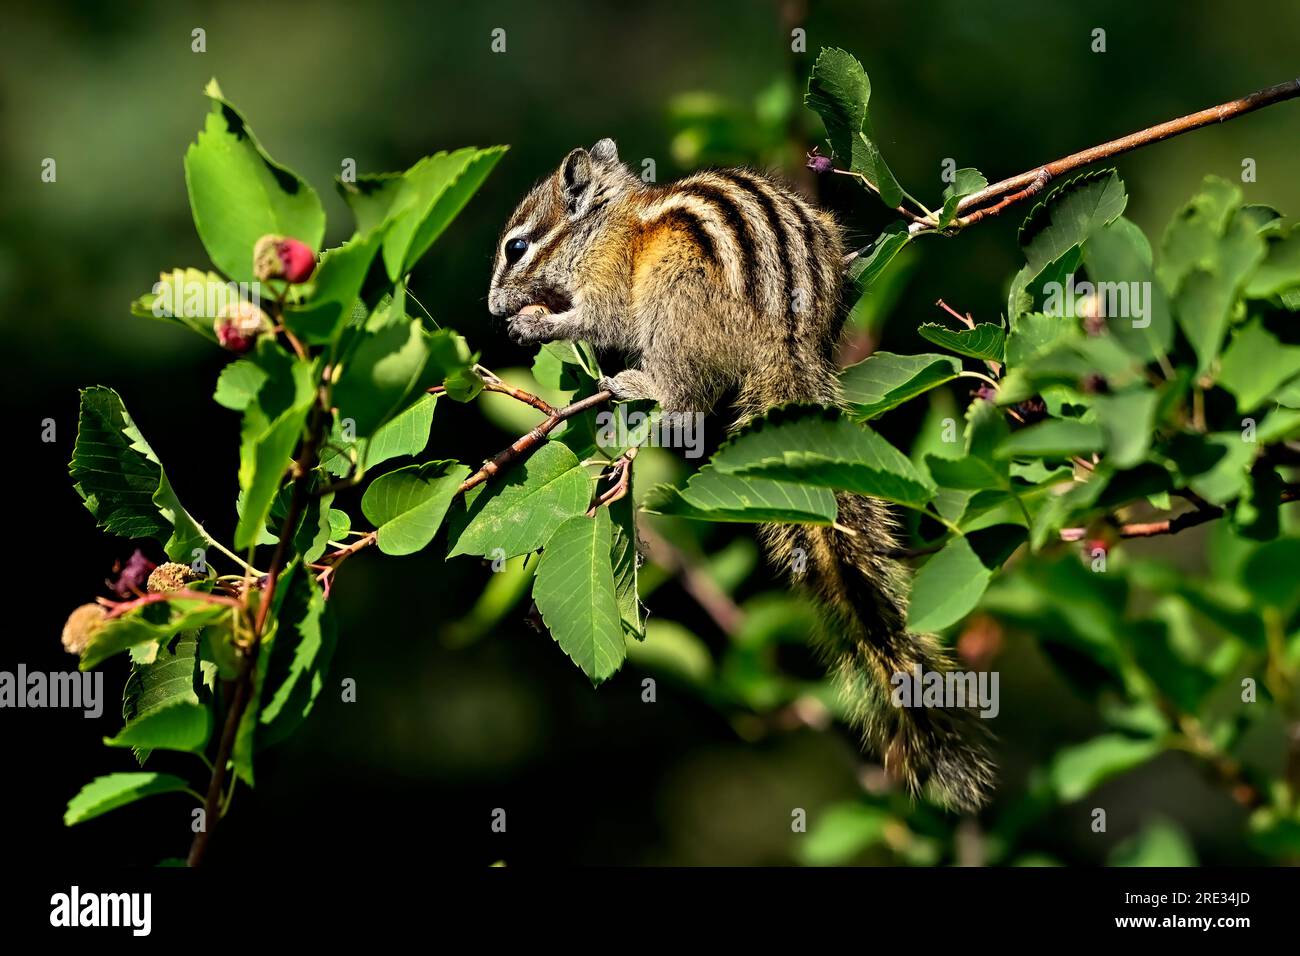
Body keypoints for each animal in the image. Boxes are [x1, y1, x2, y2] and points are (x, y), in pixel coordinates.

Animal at [487, 138, 995, 812]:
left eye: (517, 248)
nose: (492, 307)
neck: (604, 221)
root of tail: (787, 339)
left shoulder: (609, 283)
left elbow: (596, 320)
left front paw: (538, 321)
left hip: (673, 301)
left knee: (685, 399)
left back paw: (637, 383)